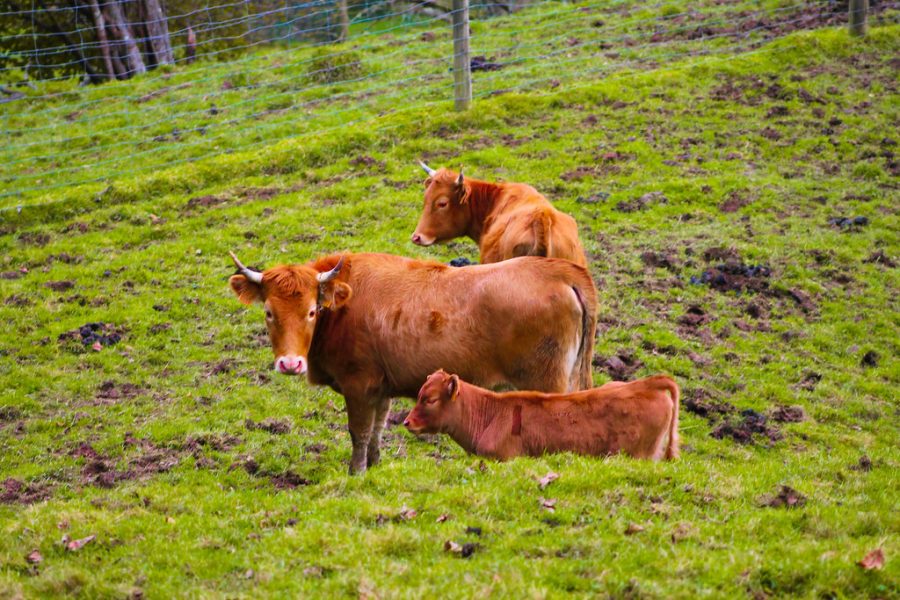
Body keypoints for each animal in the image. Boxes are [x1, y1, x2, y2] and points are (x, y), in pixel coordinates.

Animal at [228, 251, 597, 474]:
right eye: (269, 312)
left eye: (311, 311)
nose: (290, 364)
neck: (346, 304)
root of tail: (558, 271)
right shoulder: (379, 389)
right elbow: (377, 430)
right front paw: (374, 468)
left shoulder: (358, 385)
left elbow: (359, 432)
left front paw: (355, 472)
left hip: (547, 381)